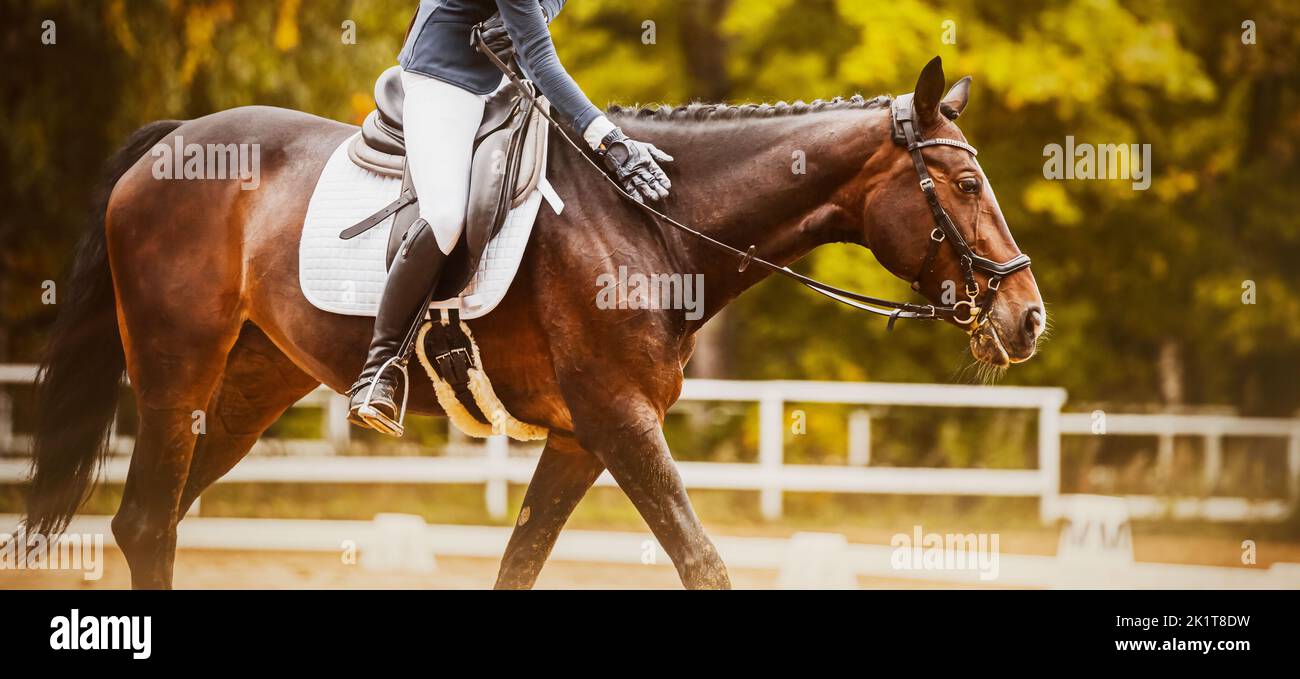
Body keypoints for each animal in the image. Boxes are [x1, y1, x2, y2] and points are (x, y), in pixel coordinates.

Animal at [23, 57, 1043, 589]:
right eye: (964, 183)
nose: (1027, 317)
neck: (652, 222)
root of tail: (172, 141)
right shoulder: (619, 418)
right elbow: (703, 560)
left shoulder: (582, 438)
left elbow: (519, 562)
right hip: (176, 375)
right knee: (149, 521)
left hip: (251, 386)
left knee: (157, 517)